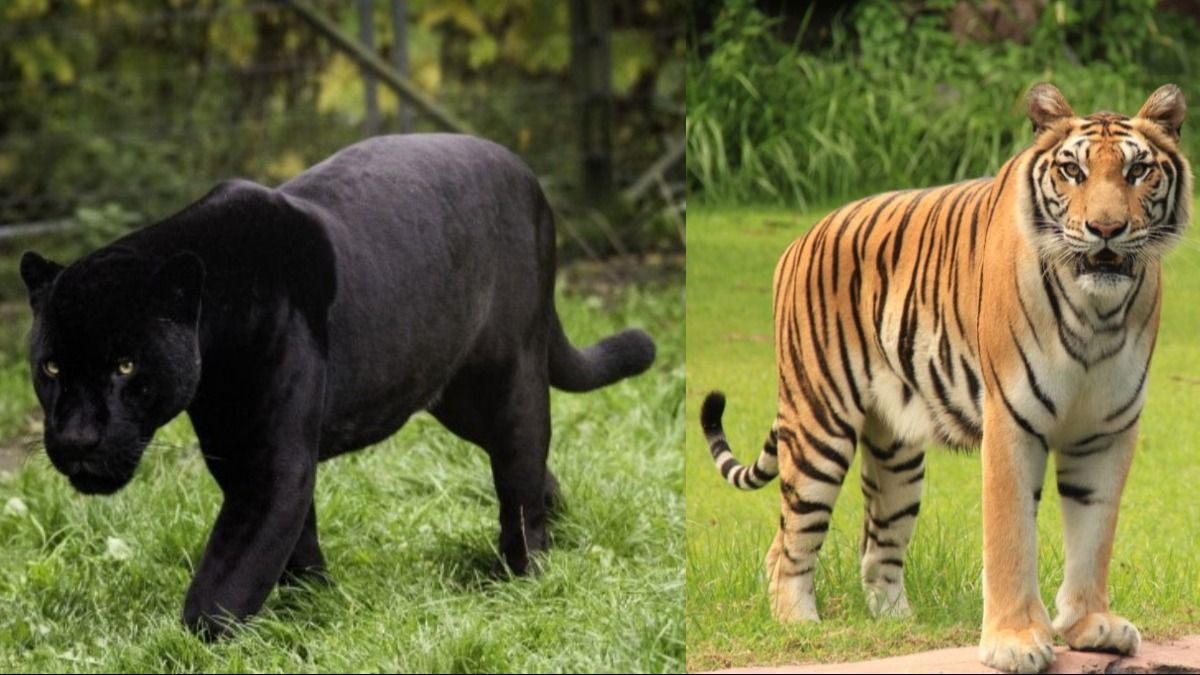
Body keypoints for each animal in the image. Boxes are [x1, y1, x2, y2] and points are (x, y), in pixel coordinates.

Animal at [700, 84, 1191, 673]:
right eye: (1072, 170)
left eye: (1138, 171)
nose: (1106, 230)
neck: (1098, 312)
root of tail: (801, 240)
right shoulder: (1013, 422)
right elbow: (1010, 538)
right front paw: (1014, 641)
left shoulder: (1106, 430)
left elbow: (1094, 533)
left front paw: (1090, 625)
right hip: (819, 426)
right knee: (786, 545)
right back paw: (801, 626)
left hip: (897, 456)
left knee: (877, 547)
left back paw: (898, 624)